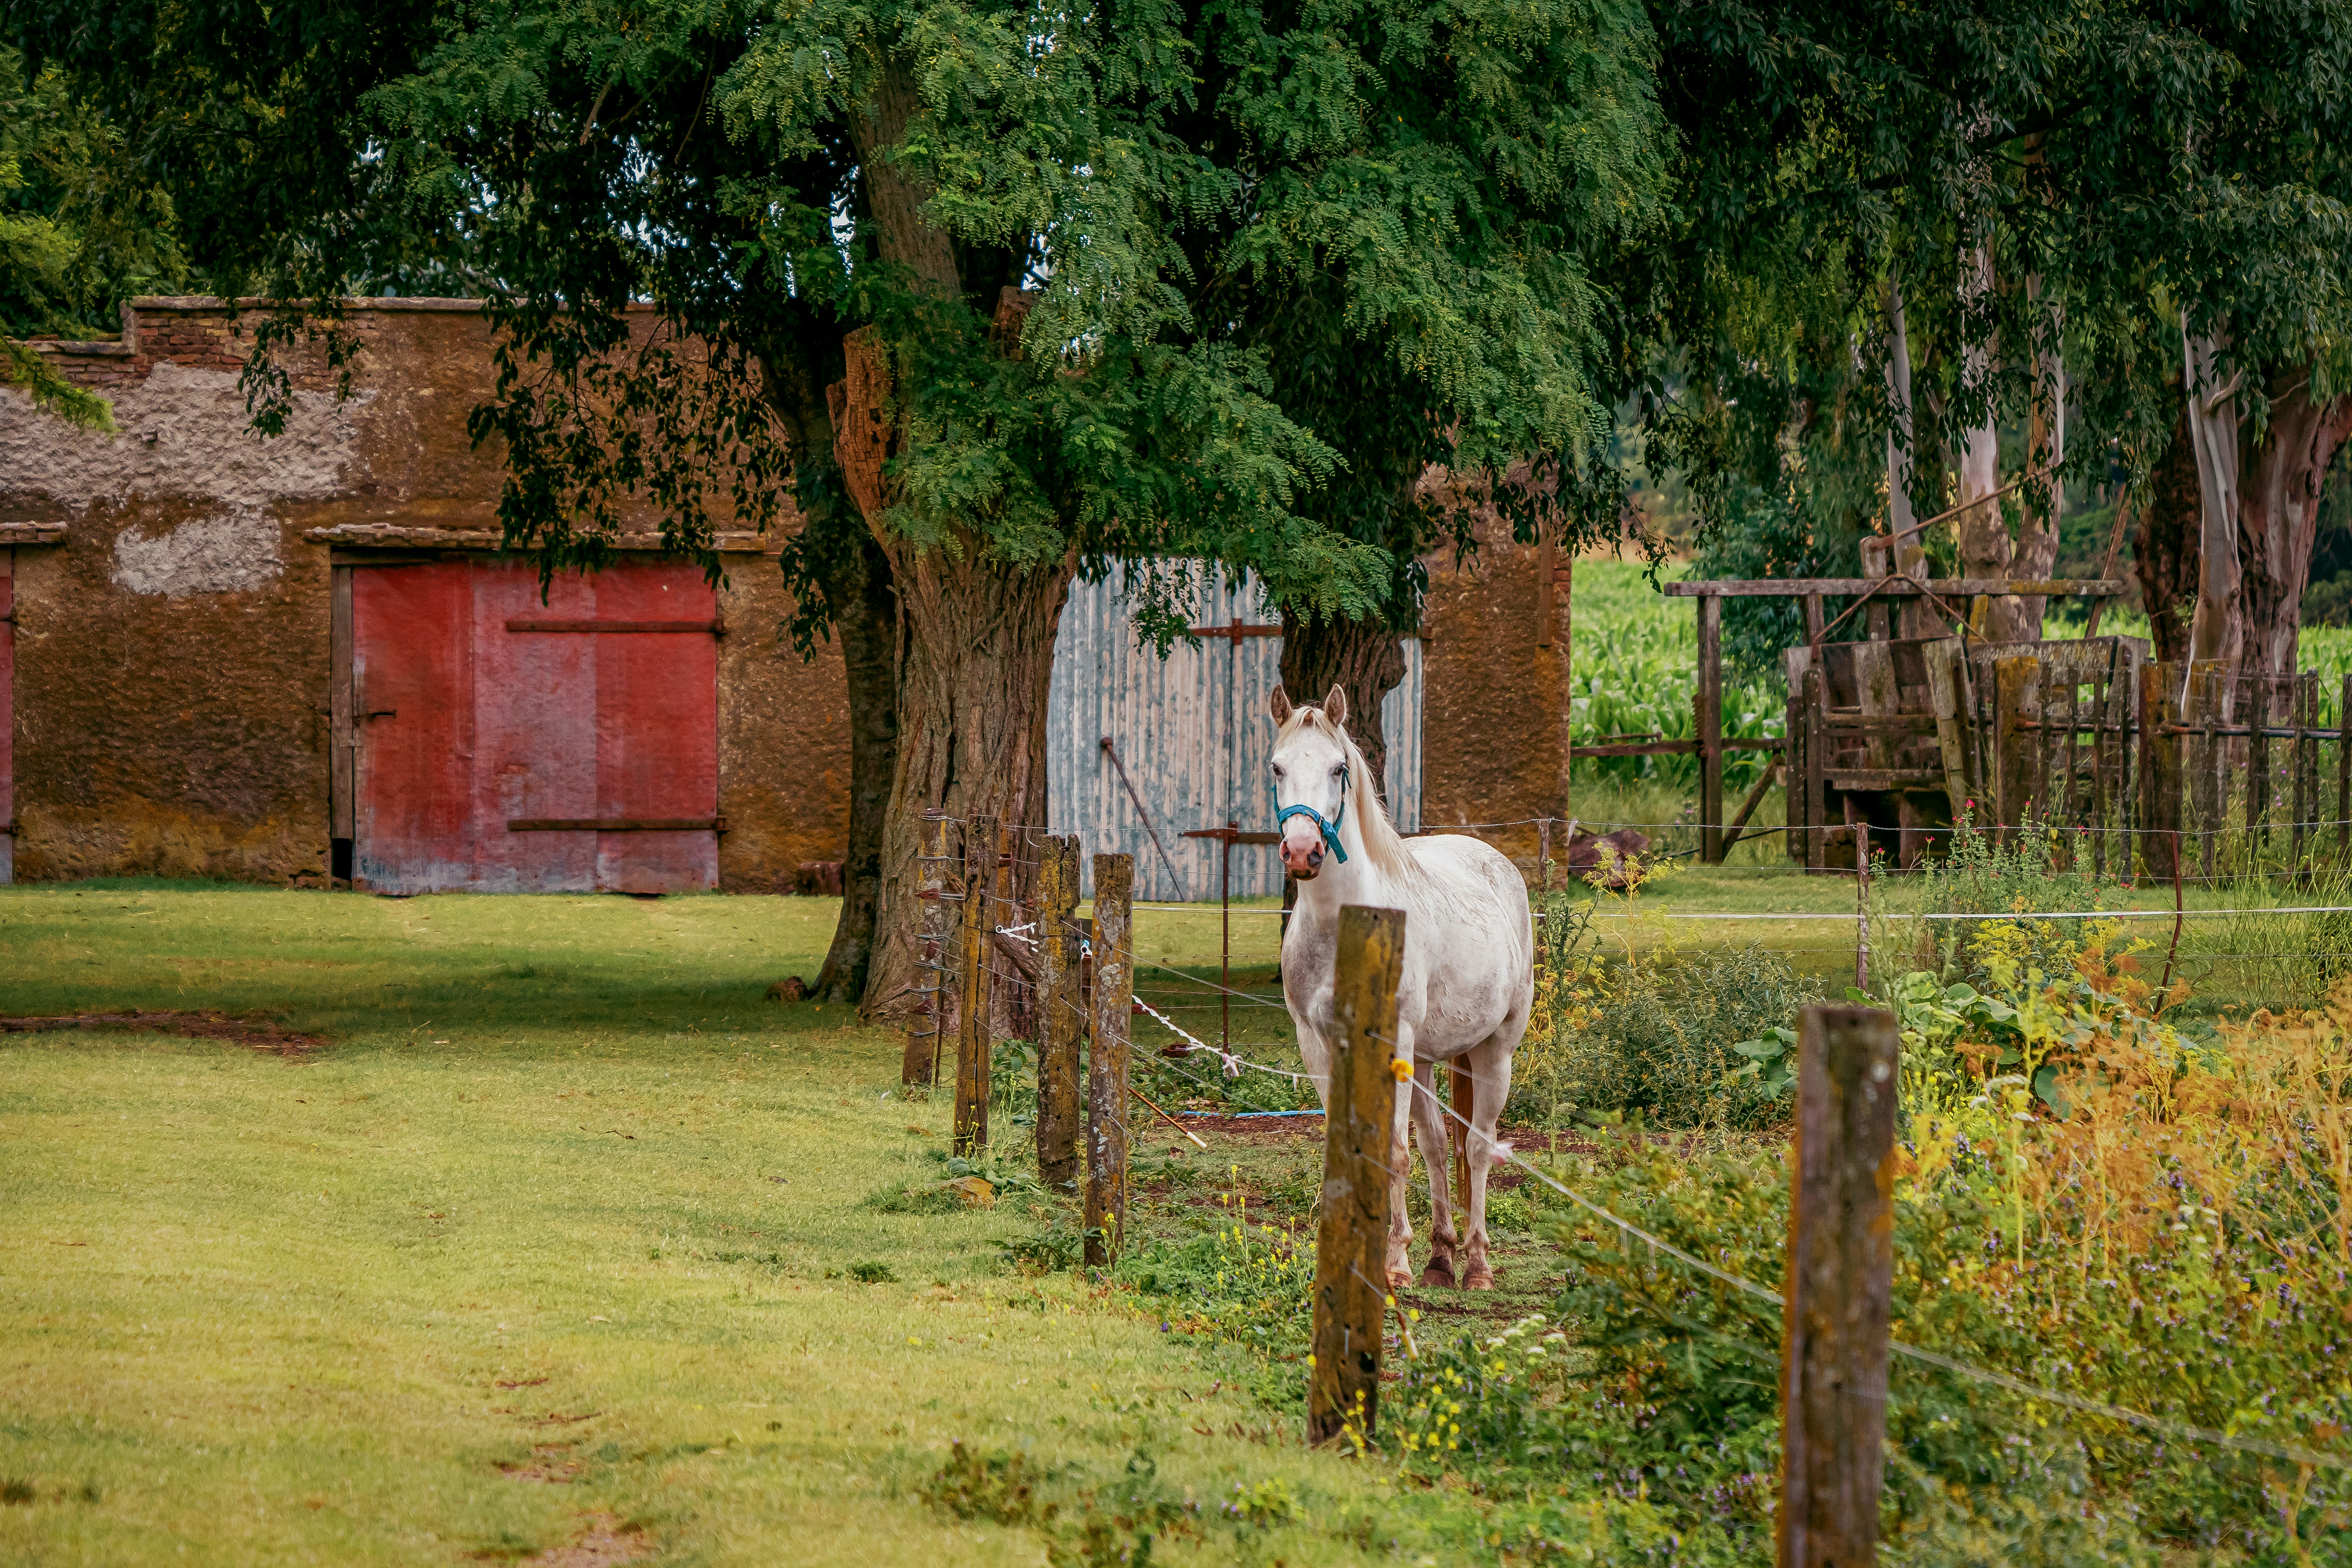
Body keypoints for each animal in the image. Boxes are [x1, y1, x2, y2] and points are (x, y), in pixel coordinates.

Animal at [1268, 683, 1534, 1289]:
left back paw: (1476, 1263)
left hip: (1494, 1050)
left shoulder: (1394, 1043)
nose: (1303, 851)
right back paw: (1441, 1255)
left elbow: (1391, 1153)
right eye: (1276, 767)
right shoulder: (1316, 1044)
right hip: (1431, 1059)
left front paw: (1394, 1263)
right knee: (1438, 1146)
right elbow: (1352, 1147)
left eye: (1339, 768)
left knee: (1477, 1147)